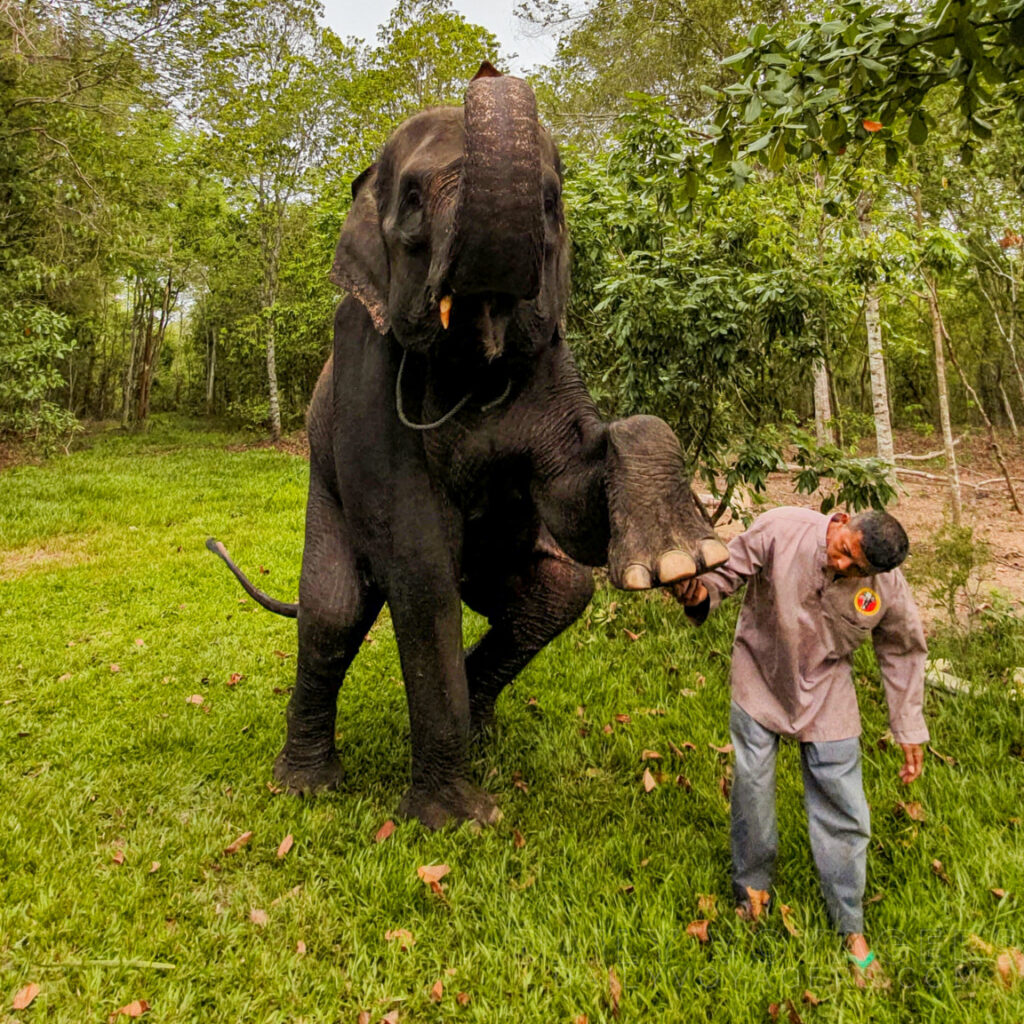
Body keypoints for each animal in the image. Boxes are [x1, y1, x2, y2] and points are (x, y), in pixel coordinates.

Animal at [208, 62, 728, 830]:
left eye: (551, 202)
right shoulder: (364, 361)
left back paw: (483, 729)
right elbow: (417, 564)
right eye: (413, 199)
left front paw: (682, 565)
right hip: (324, 493)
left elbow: (576, 511)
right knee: (334, 611)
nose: (484, 68)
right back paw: (306, 785)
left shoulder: (552, 355)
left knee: (557, 593)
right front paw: (458, 822)